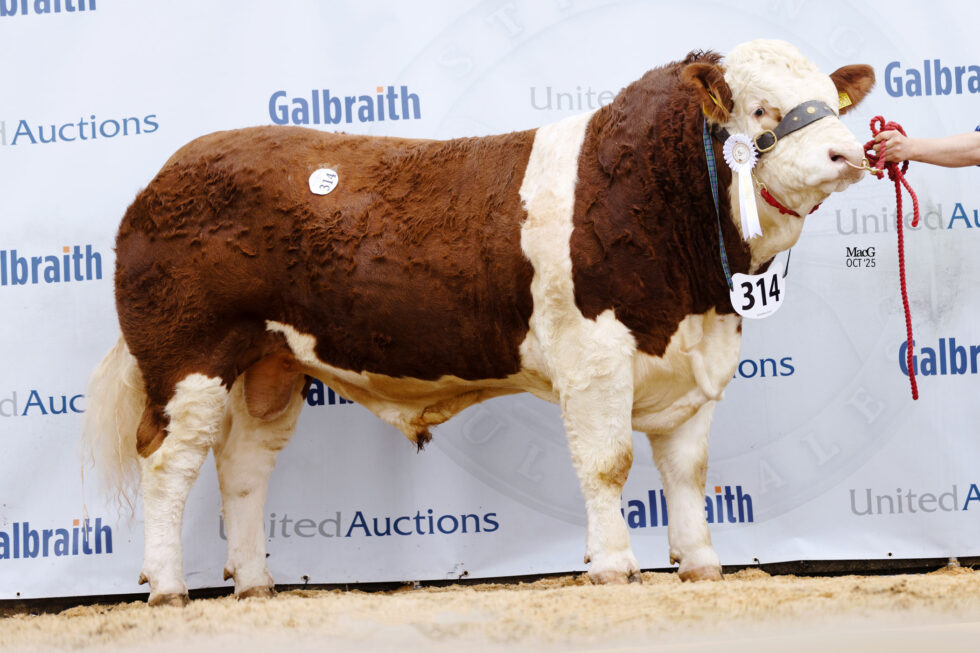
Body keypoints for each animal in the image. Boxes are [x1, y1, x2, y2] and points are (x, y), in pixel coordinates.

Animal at [84, 39, 875, 606]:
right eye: (761, 110)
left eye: (827, 98)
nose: (848, 152)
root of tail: (169, 173)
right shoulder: (593, 357)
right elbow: (609, 461)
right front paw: (613, 565)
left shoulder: (695, 362)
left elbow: (688, 469)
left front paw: (703, 565)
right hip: (187, 355)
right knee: (168, 461)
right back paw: (168, 587)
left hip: (268, 367)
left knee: (244, 466)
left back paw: (253, 584)